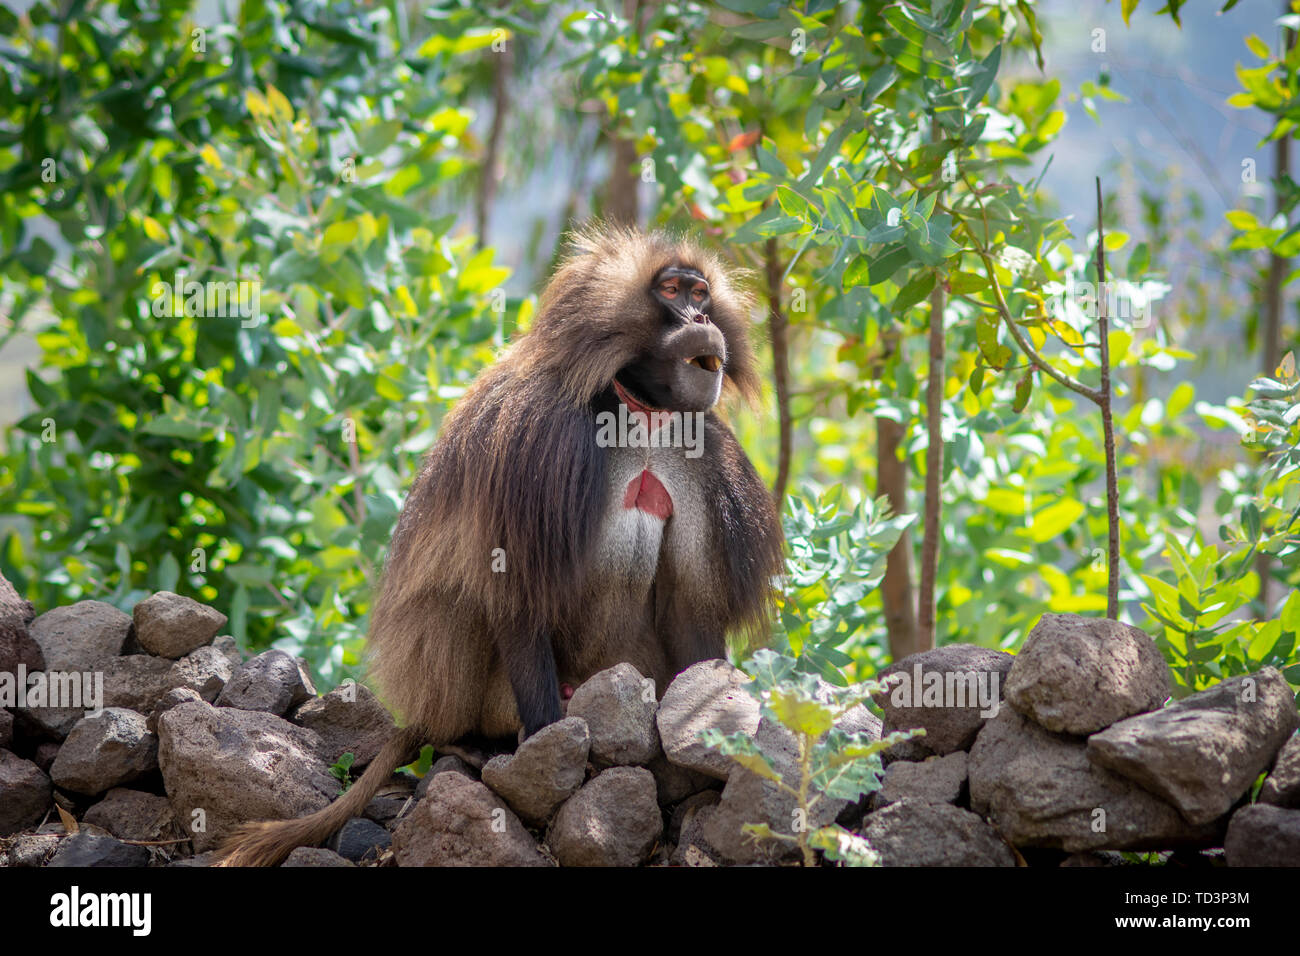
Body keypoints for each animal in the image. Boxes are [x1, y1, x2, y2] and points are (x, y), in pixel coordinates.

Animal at [219, 223, 780, 868]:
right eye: (672, 291)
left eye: (701, 292)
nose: (701, 316)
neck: (636, 414)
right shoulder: (540, 437)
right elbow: (517, 596)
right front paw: (549, 756)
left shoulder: (703, 454)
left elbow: (690, 610)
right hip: (483, 695)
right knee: (460, 602)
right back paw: (470, 745)